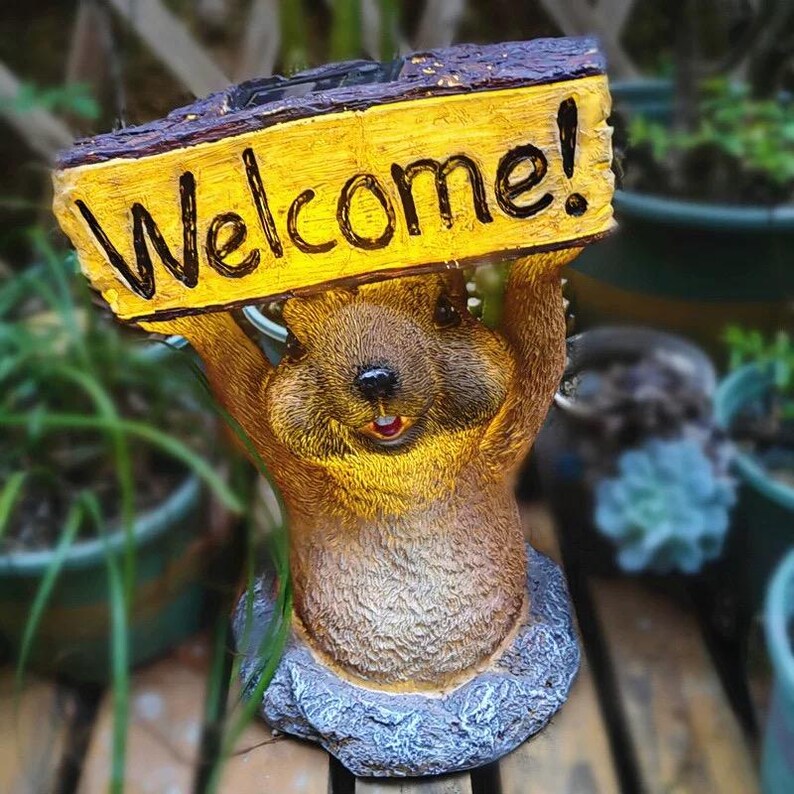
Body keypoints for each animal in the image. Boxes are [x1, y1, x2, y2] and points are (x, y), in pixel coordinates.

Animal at [167, 250, 575, 689]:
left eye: (445, 311)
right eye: (295, 345)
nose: (374, 379)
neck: (402, 479)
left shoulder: (497, 455)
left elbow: (540, 352)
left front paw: (550, 255)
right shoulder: (295, 477)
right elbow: (238, 387)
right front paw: (183, 318)